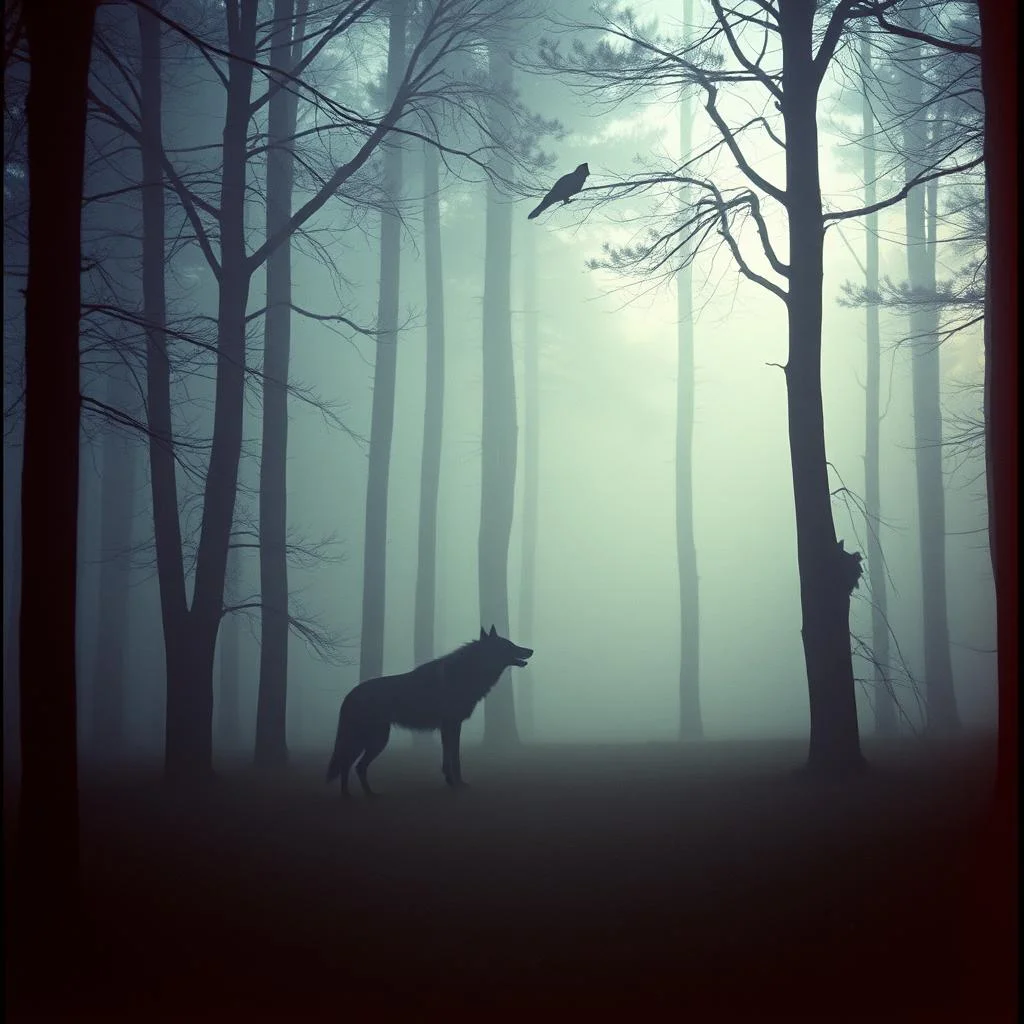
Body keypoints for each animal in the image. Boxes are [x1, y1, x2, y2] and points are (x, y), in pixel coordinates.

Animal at [326, 625, 533, 796]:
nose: (531, 650)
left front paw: (451, 781)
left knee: (349, 765)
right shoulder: (452, 725)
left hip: (369, 740)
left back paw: (352, 795)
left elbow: (448, 758)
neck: (466, 675)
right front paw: (458, 783)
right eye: (509, 645)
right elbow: (454, 758)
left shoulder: (448, 727)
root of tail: (350, 694)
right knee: (354, 765)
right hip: (376, 740)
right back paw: (364, 794)